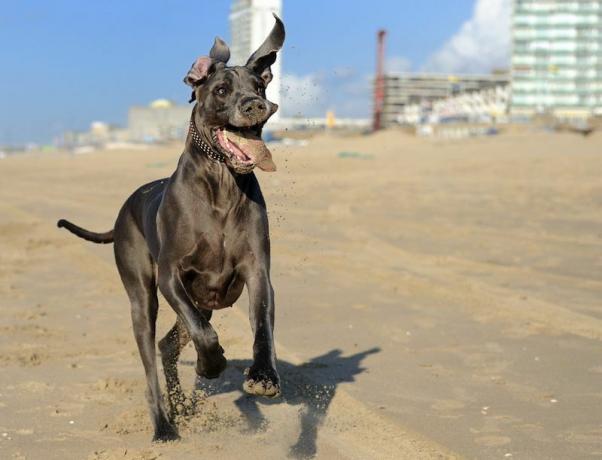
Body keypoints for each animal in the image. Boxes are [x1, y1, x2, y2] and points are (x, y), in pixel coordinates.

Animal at [55, 15, 284, 442]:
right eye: (222, 90)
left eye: (259, 86)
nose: (256, 105)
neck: (222, 185)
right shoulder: (170, 275)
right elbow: (204, 335)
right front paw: (211, 365)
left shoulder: (257, 271)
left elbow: (262, 324)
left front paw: (263, 376)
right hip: (142, 297)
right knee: (152, 358)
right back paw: (164, 422)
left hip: (201, 299)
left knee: (167, 344)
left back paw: (180, 405)